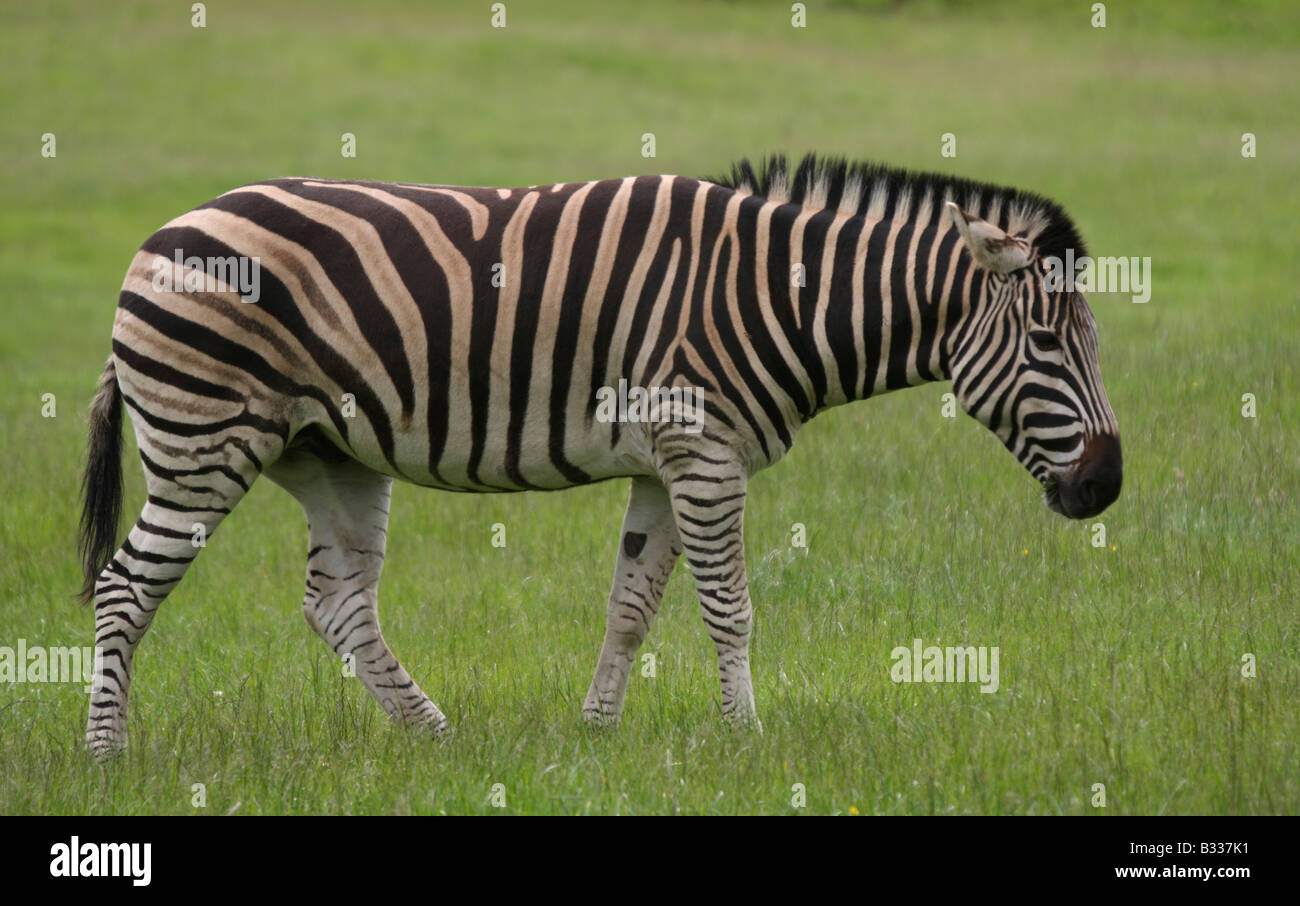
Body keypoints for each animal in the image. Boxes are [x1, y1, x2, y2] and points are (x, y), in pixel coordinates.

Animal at [77, 154, 1121, 758]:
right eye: (1046, 344)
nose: (1107, 485)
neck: (782, 295)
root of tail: (159, 236)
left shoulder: (668, 463)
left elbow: (631, 606)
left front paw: (597, 735)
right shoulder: (704, 452)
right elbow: (729, 607)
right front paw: (749, 742)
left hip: (327, 451)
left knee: (335, 601)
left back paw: (438, 739)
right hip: (204, 441)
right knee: (125, 586)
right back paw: (105, 757)